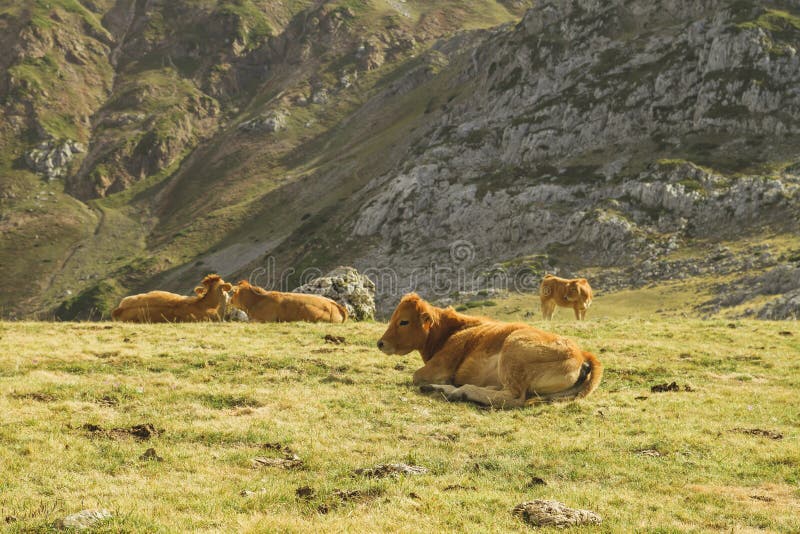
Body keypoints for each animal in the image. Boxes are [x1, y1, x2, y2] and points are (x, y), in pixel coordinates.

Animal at [377, 293, 602, 408]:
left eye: (404, 321)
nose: (380, 343)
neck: (452, 331)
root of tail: (582, 353)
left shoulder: (440, 365)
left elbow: (416, 376)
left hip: (513, 349)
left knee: (514, 398)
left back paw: (459, 391)